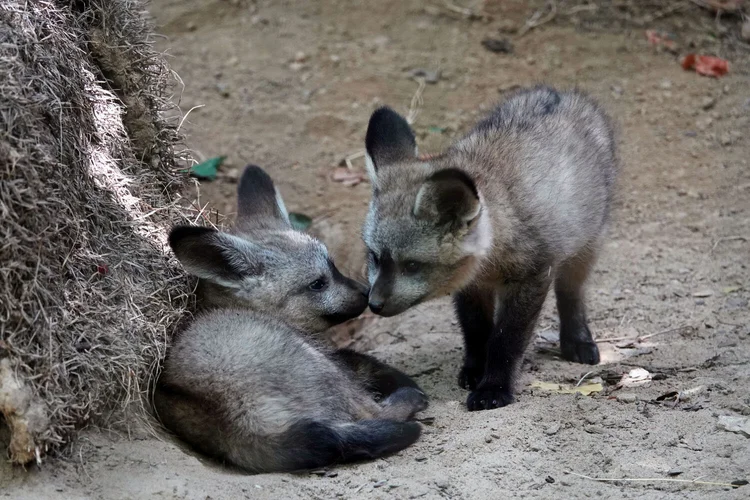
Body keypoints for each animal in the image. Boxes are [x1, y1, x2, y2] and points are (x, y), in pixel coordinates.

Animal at [153, 165, 428, 473]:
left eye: (333, 266)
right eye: (318, 284)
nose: (366, 294)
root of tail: (241, 421)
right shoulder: (329, 356)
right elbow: (362, 363)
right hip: (321, 368)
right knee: (376, 413)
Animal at [361, 86, 617, 412]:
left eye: (412, 265)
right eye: (374, 257)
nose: (373, 304)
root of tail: (559, 93)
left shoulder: (533, 276)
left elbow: (505, 340)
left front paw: (494, 387)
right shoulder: (470, 286)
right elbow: (476, 331)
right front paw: (475, 370)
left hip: (586, 247)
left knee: (572, 294)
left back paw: (578, 340)